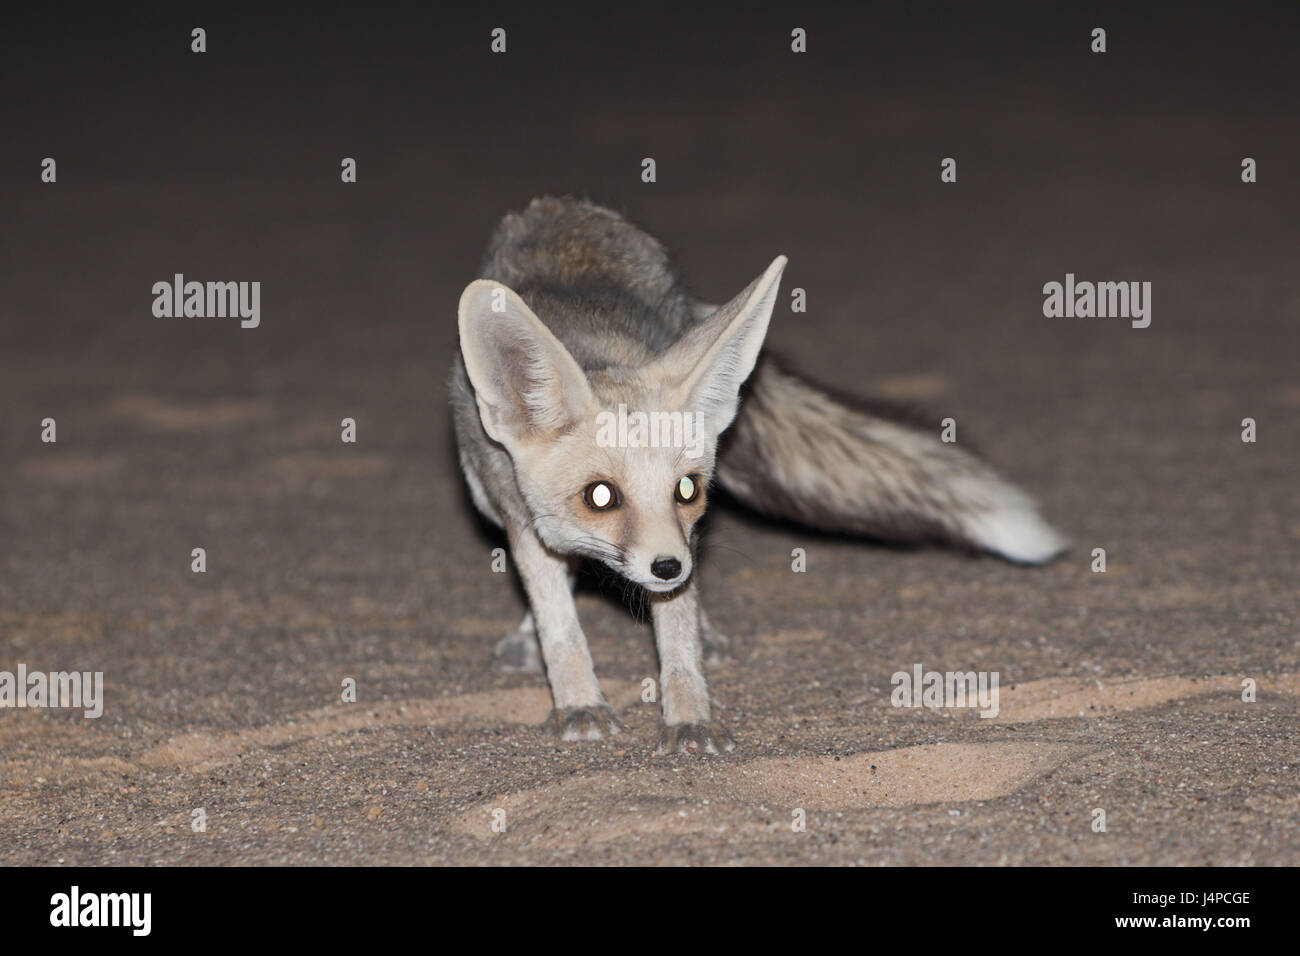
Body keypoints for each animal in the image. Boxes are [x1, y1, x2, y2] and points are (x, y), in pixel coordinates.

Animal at [452, 196, 1067, 755]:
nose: (669, 567)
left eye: (687, 489)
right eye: (599, 496)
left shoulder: (682, 541)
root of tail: (562, 206)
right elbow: (561, 627)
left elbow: (679, 644)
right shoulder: (524, 525)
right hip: (486, 498)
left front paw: (690, 716)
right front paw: (579, 702)